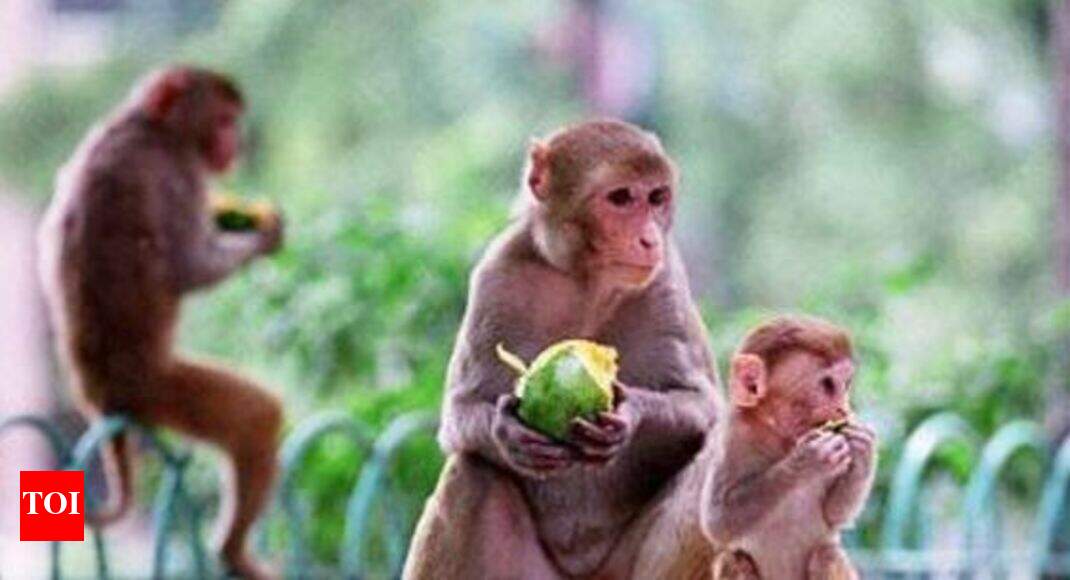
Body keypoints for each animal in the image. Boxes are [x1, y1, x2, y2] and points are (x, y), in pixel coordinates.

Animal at [37, 66, 284, 579]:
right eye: (224, 119)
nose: (235, 141)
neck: (145, 126)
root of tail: (102, 398)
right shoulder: (174, 171)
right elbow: (190, 267)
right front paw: (264, 235)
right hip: (157, 389)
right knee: (257, 416)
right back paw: (232, 552)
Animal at [403, 119, 721, 579]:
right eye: (621, 198)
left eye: (657, 197)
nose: (648, 239)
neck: (585, 280)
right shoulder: (496, 276)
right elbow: (460, 414)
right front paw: (508, 432)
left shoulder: (667, 282)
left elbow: (703, 405)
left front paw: (629, 415)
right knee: (472, 469)